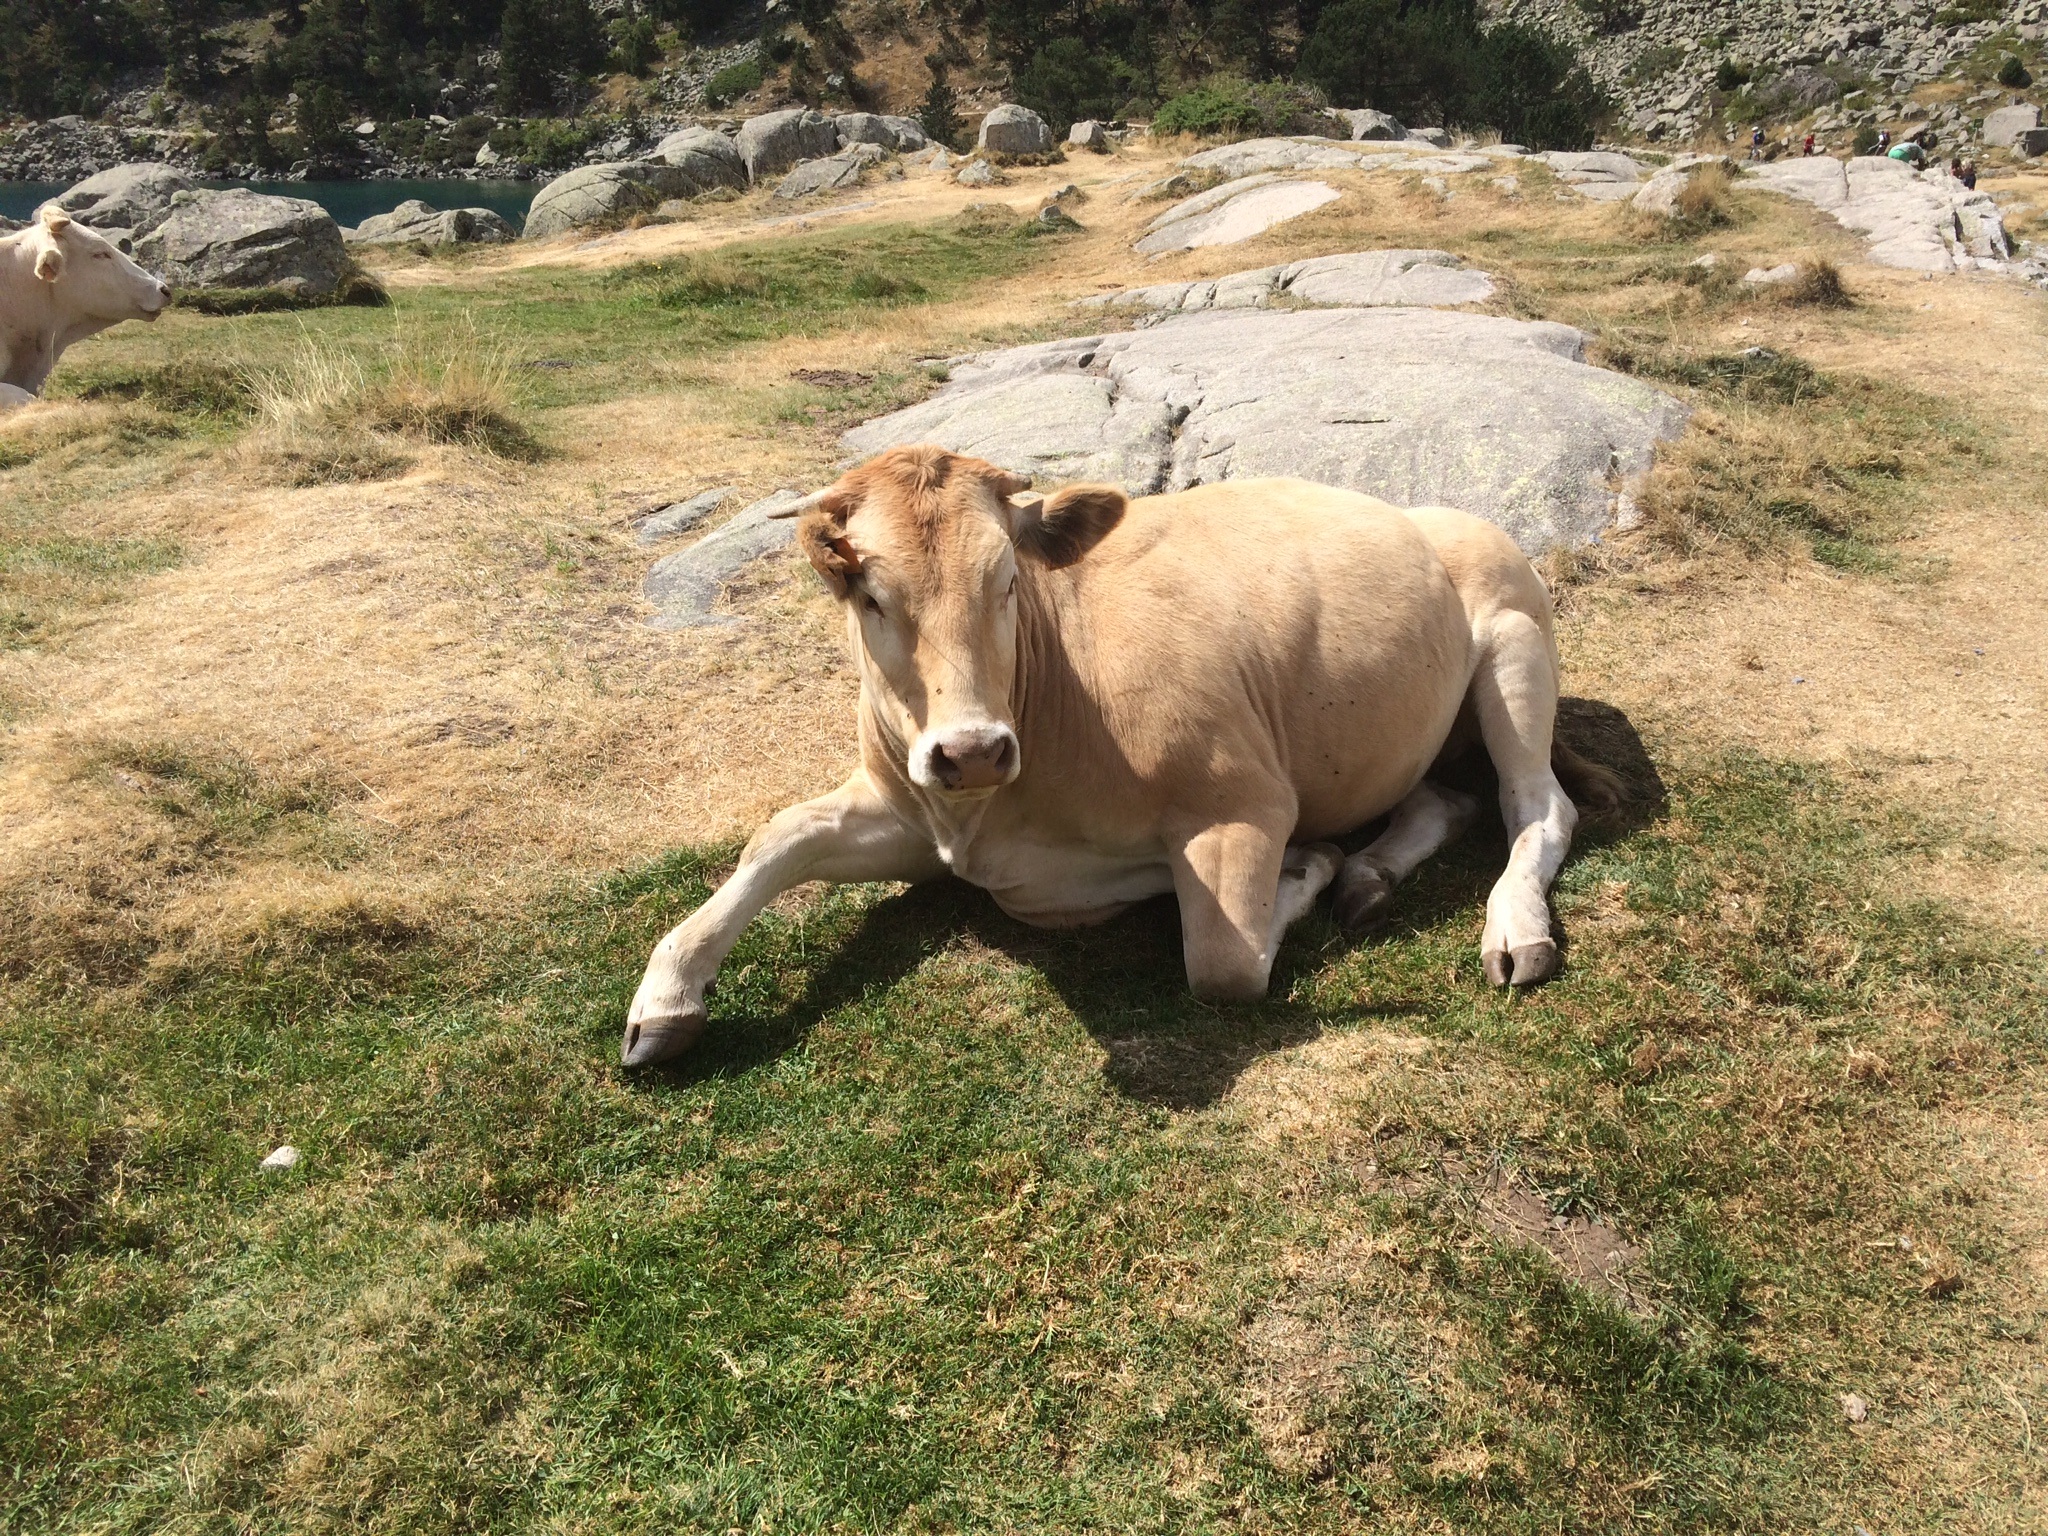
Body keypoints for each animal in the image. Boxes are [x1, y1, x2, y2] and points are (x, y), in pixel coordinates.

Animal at [622, 445, 1618, 1066]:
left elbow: (1223, 964)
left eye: (1007, 578)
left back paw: (1510, 925)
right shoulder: (911, 806)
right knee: (1443, 798)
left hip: (1516, 645)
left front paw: (1308, 867)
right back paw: (1373, 876)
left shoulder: (1242, 801)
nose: (973, 750)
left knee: (1536, 805)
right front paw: (666, 992)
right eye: (869, 595)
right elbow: (778, 836)